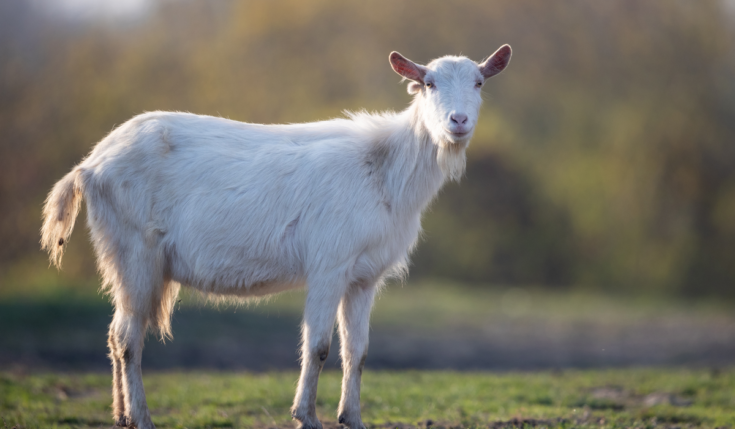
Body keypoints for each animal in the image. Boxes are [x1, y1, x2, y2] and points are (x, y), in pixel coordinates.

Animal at [41, 45, 511, 429]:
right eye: (428, 83)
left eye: (479, 82)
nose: (458, 121)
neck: (385, 169)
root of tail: (89, 166)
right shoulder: (329, 264)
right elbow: (319, 345)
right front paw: (307, 416)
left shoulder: (364, 277)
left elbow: (356, 351)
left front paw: (352, 418)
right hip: (133, 249)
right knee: (127, 338)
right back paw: (141, 417)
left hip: (121, 257)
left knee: (116, 333)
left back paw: (121, 415)